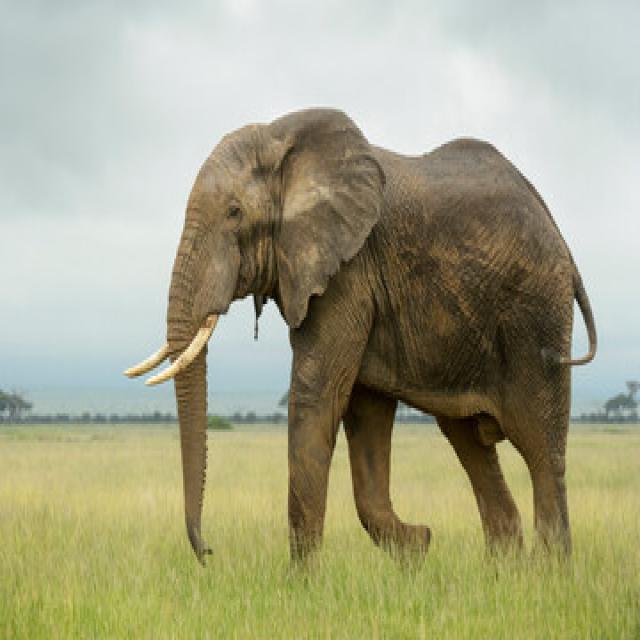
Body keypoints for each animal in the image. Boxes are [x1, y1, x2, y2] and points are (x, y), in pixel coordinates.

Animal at [125, 108, 596, 565]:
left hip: (535, 314)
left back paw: (548, 575)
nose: (207, 551)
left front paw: (304, 583)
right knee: (470, 442)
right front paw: (418, 546)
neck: (282, 136)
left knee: (540, 448)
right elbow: (365, 410)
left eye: (234, 212)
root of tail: (556, 229)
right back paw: (505, 573)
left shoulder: (349, 269)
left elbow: (317, 393)